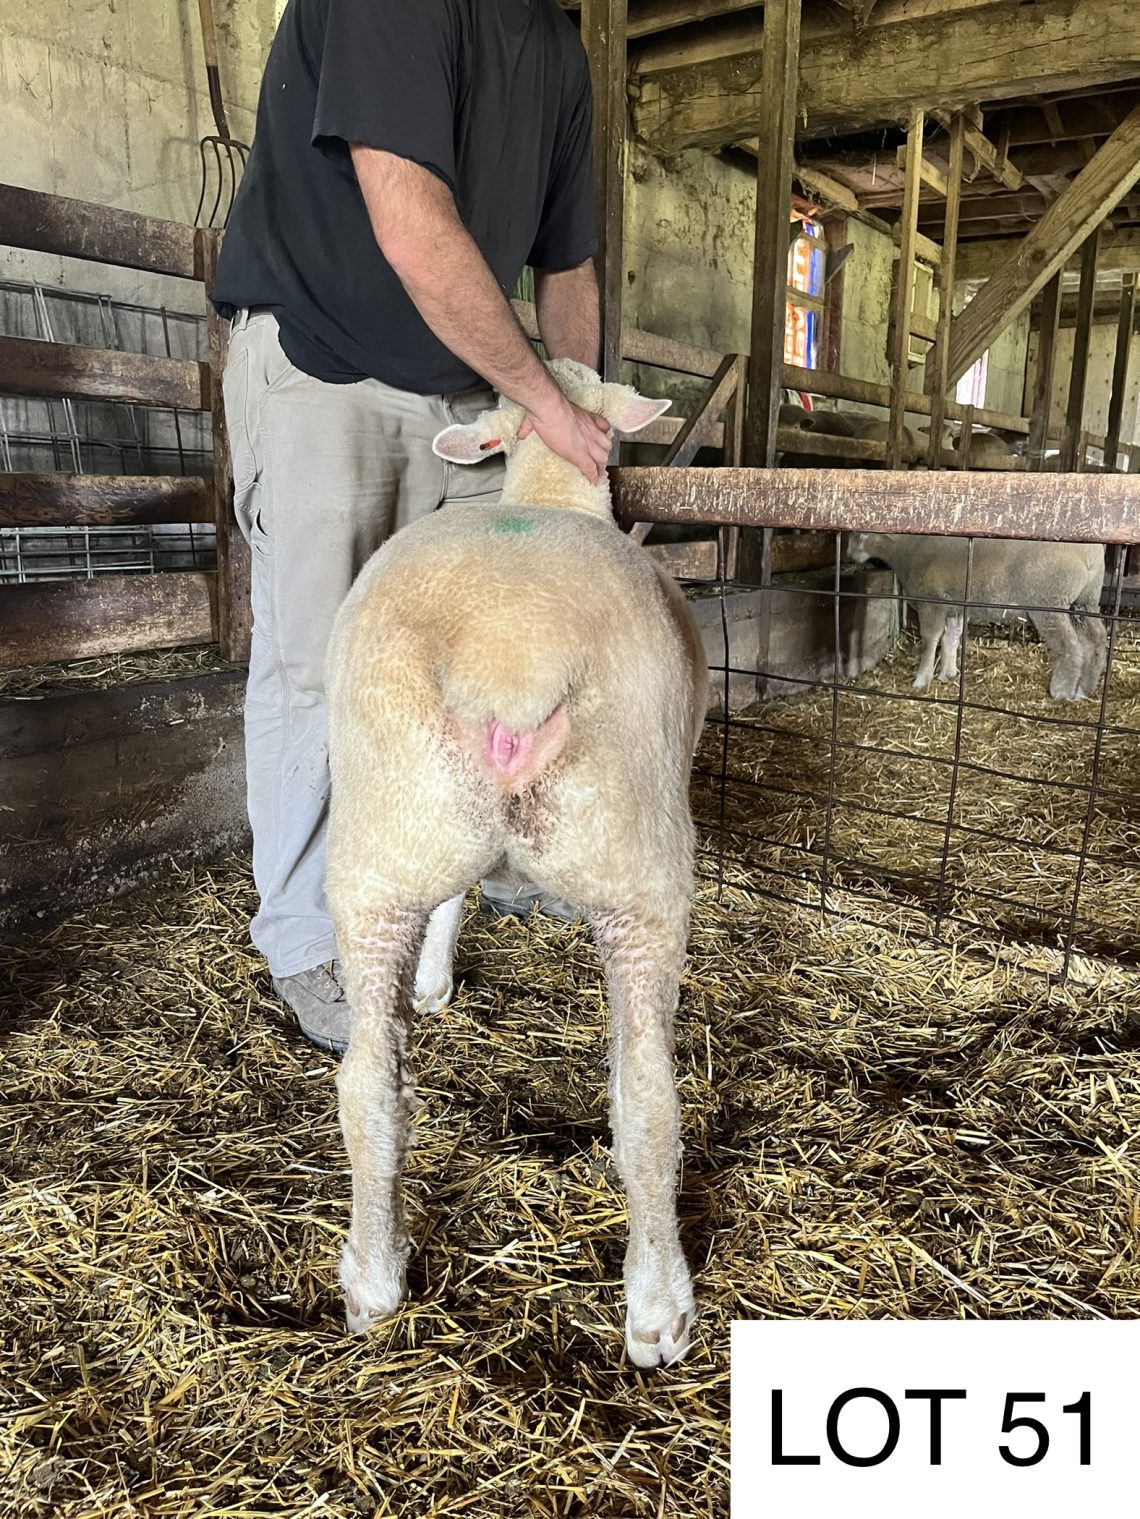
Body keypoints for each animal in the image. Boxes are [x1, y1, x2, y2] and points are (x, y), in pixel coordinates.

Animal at [323, 359, 708, 1369]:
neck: (541, 492)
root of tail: (508, 659)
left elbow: (456, 898)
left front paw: (432, 983)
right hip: (638, 854)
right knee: (648, 1098)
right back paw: (660, 1306)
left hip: (383, 840)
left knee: (368, 1082)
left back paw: (373, 1278)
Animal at [847, 532, 1107, 699]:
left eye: (861, 534)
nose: (849, 555)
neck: (907, 549)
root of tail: (1091, 554)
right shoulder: (955, 606)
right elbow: (950, 639)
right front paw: (948, 673)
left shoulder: (933, 601)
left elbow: (930, 639)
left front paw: (921, 679)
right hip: (1085, 600)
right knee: (1096, 639)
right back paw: (1084, 688)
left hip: (1049, 601)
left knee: (1069, 646)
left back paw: (1061, 691)